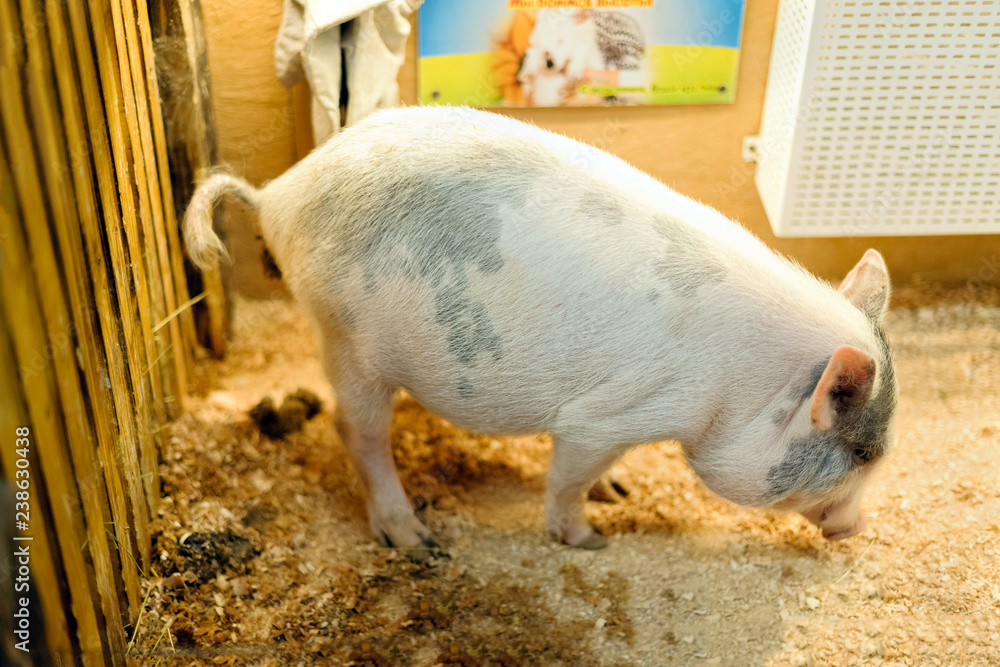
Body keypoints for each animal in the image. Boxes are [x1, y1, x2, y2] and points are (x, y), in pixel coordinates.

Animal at [184, 105, 898, 551]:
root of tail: (277, 193)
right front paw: (590, 539)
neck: (746, 389)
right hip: (345, 335)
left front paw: (619, 492)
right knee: (356, 432)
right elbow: (568, 477)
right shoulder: (608, 414)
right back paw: (418, 544)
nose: (861, 526)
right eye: (862, 454)